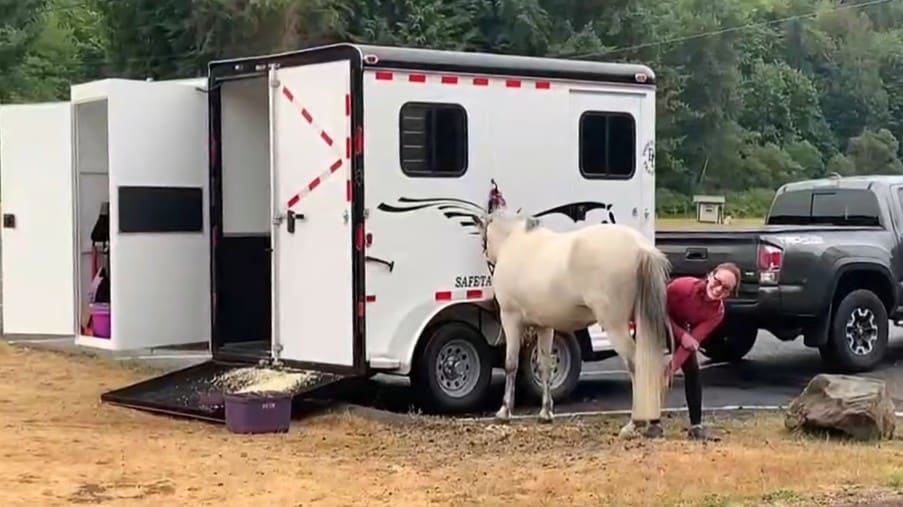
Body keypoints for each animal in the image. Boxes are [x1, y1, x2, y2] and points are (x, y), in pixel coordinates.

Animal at [475, 206, 674, 438]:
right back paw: (653, 422)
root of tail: (641, 248)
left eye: (483, 236)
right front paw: (545, 412)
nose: (486, 257)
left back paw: (634, 422)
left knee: (635, 364)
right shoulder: (545, 326)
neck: (516, 241)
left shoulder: (510, 318)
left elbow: (511, 364)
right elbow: (544, 365)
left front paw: (504, 411)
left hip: (615, 326)